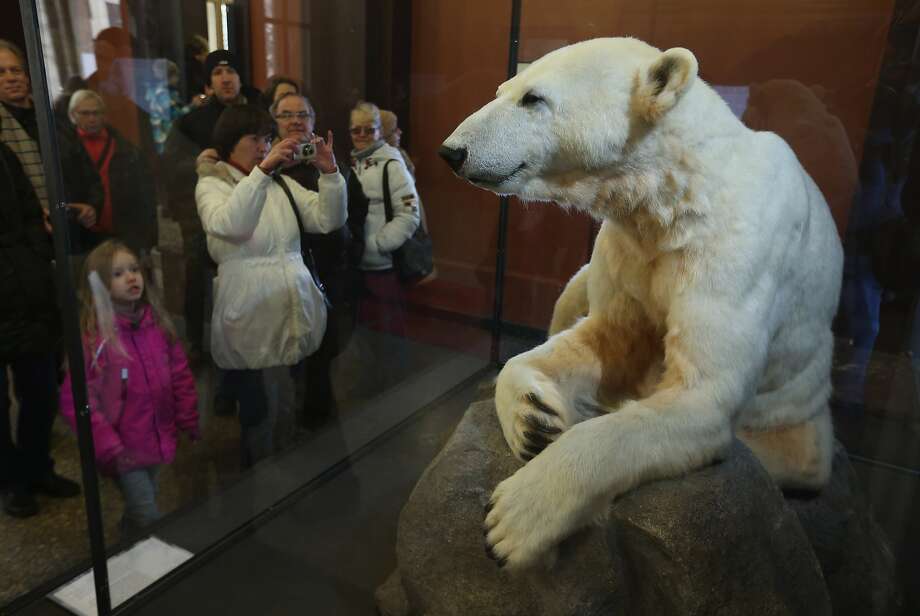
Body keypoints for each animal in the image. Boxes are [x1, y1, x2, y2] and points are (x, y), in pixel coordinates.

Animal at [438, 37, 844, 572]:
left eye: (533, 98)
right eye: (503, 88)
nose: (452, 150)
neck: (678, 193)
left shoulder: (732, 256)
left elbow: (701, 393)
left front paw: (515, 517)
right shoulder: (627, 248)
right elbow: (604, 336)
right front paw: (535, 420)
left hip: (794, 412)